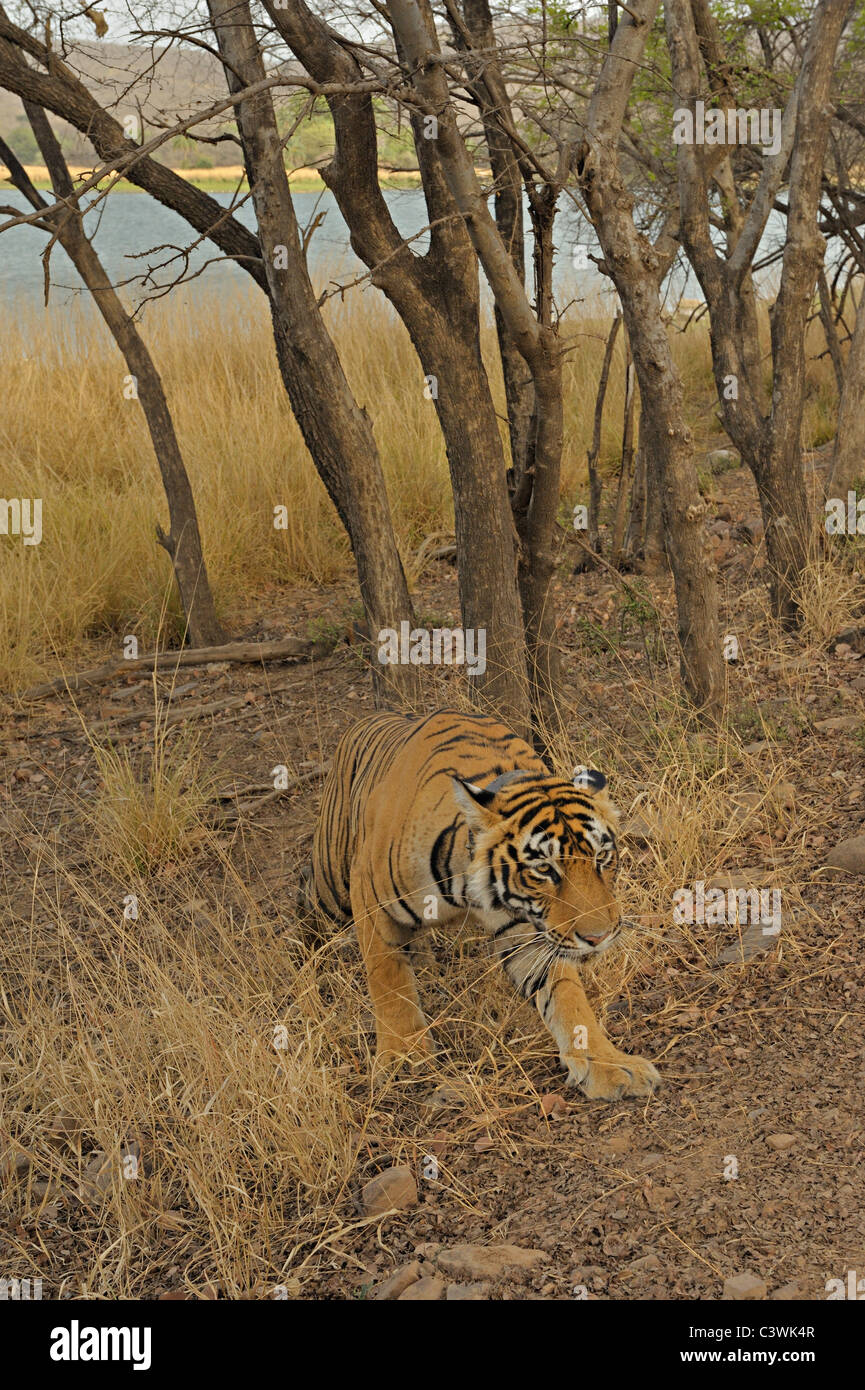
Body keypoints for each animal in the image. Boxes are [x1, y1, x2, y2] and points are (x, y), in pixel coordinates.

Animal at [308, 709, 660, 1101]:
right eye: (544, 869)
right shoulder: (371, 895)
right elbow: (388, 979)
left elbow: (566, 996)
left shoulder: (528, 930)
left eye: (602, 858)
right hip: (331, 885)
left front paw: (608, 1065)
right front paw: (404, 1057)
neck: (473, 891)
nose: (599, 938)